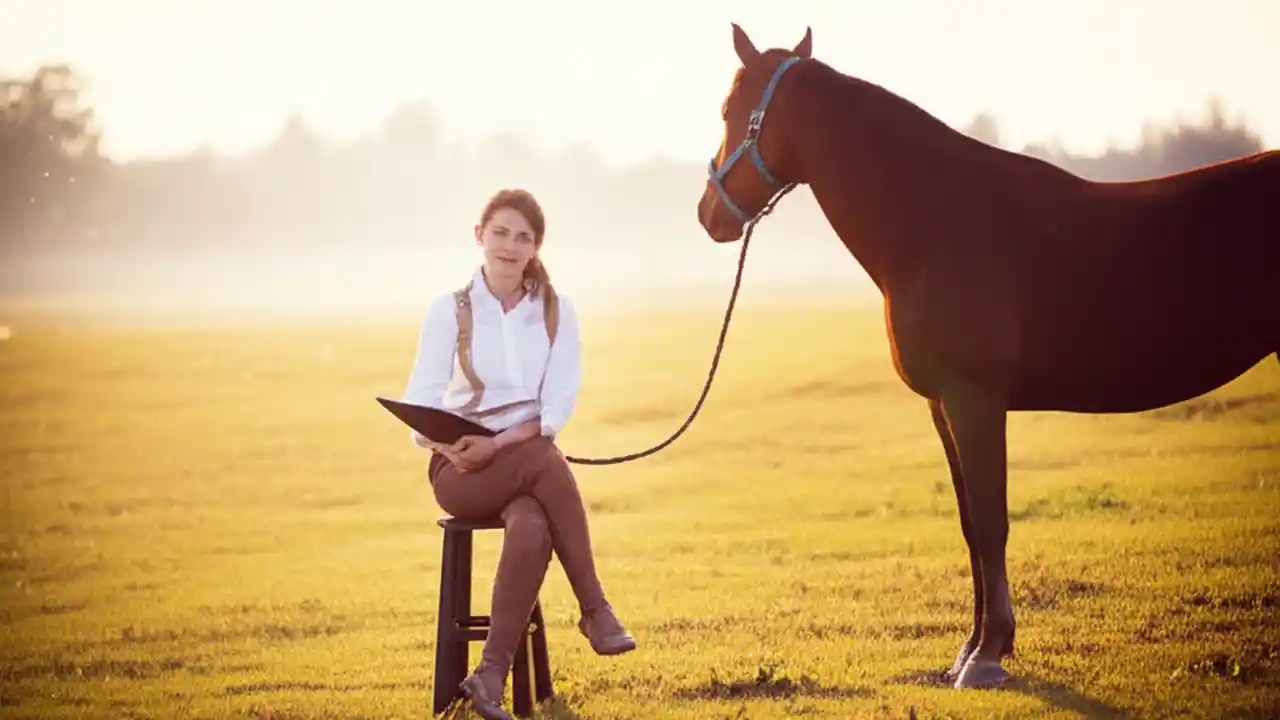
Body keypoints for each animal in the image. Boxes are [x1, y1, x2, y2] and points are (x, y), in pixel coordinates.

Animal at [697, 24, 1279, 689]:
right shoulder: (942, 405)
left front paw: (989, 653)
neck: (937, 223)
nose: (708, 213)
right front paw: (969, 648)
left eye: (728, 111)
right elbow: (971, 525)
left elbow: (992, 520)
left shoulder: (974, 400)